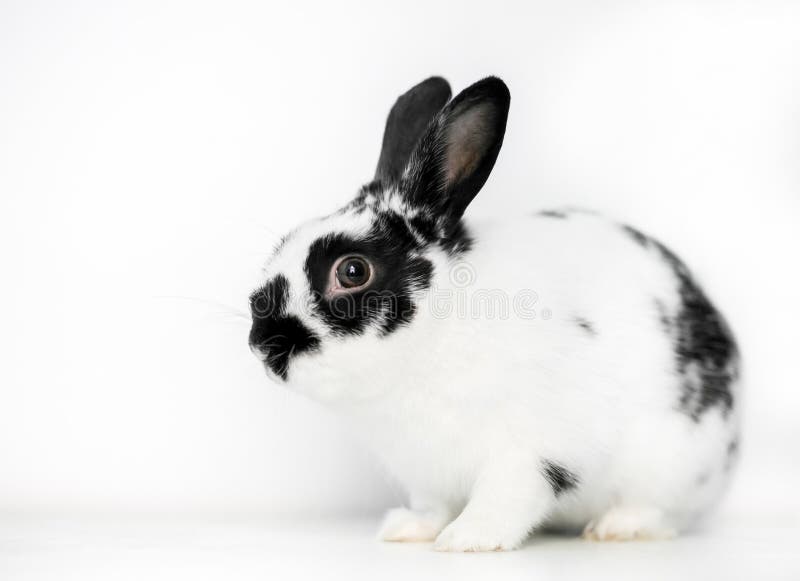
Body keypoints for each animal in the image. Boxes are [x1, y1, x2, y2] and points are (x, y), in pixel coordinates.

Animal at [248, 76, 741, 551]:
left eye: (352, 271)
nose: (261, 344)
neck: (432, 338)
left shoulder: (530, 453)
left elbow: (506, 499)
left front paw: (467, 540)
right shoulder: (429, 476)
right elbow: (436, 507)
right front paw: (410, 530)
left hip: (672, 464)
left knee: (660, 512)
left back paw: (617, 527)